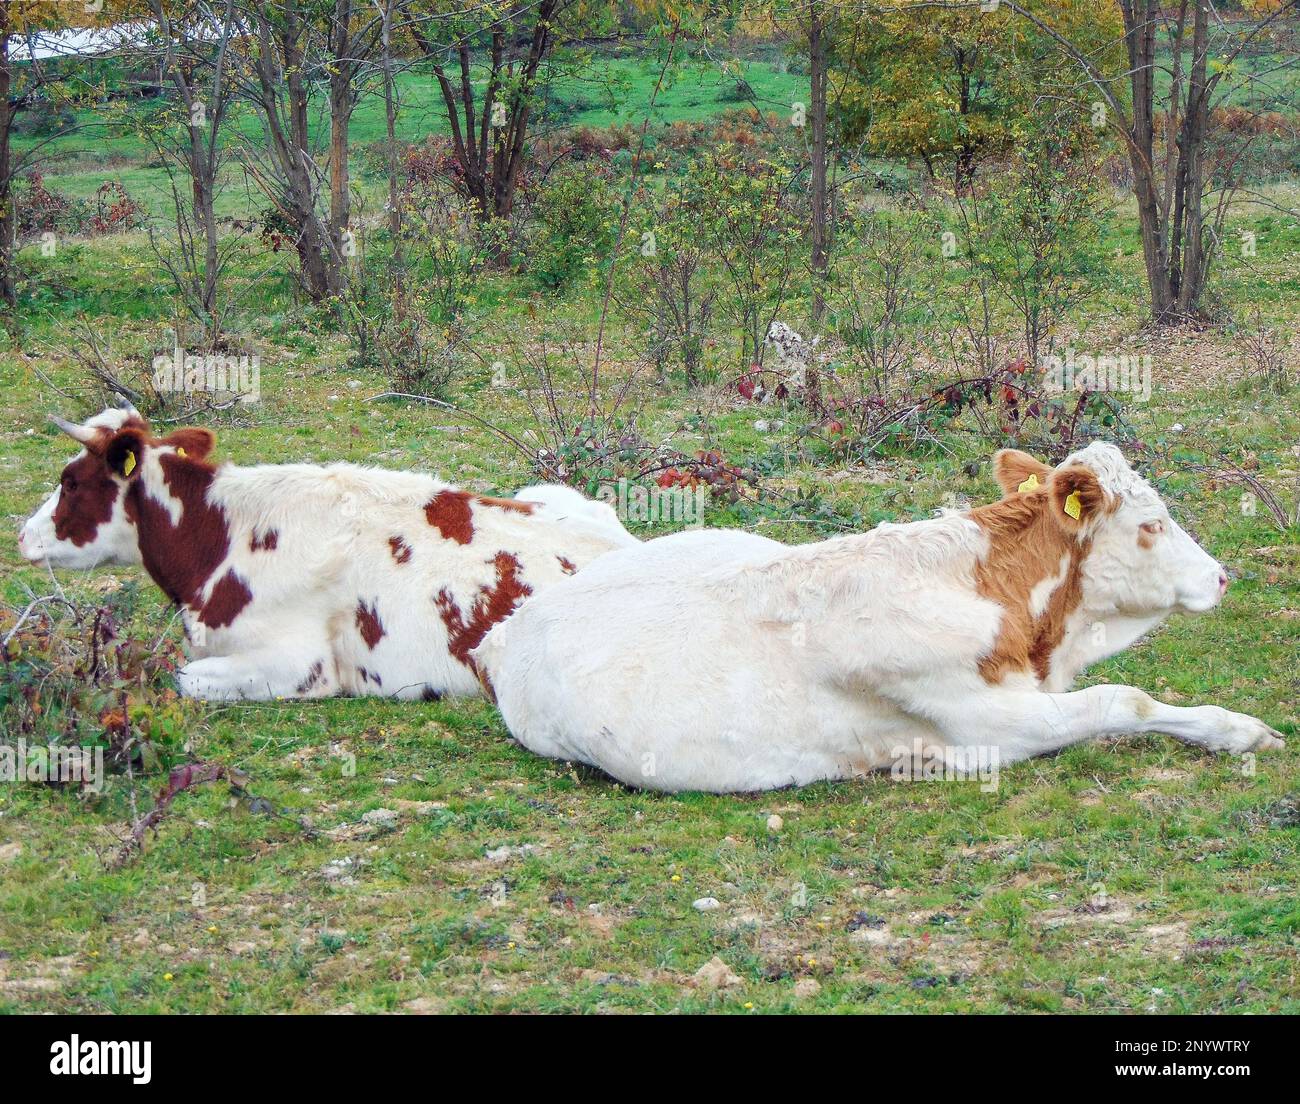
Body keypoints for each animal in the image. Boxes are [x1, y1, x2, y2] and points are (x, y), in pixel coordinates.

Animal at [474, 442, 1286, 793]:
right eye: (1151, 524)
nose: (1220, 574)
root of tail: (515, 626)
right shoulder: (988, 718)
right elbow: (1127, 700)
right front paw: (1240, 731)